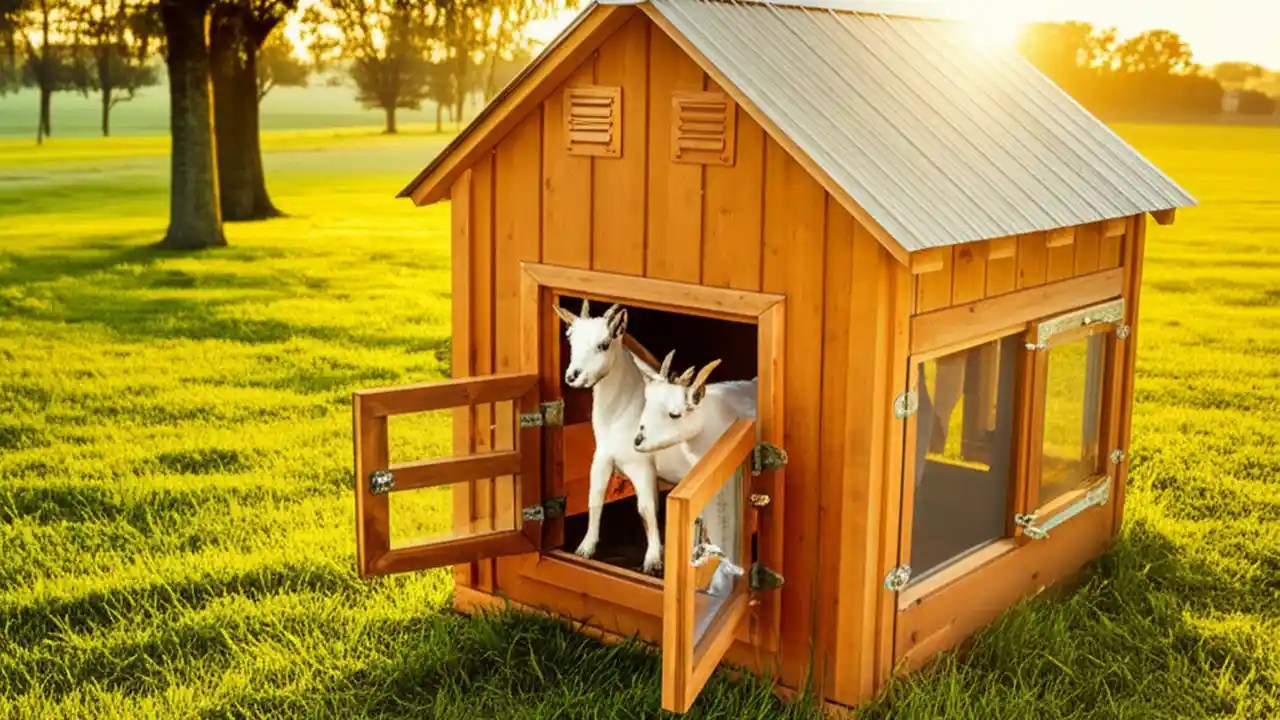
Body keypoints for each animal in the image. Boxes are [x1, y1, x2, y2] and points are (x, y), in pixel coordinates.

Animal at [555, 299, 686, 574]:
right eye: (570, 338)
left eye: (603, 344)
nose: (573, 376)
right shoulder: (602, 459)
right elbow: (595, 497)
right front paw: (585, 548)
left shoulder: (641, 466)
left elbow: (646, 509)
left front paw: (652, 561)